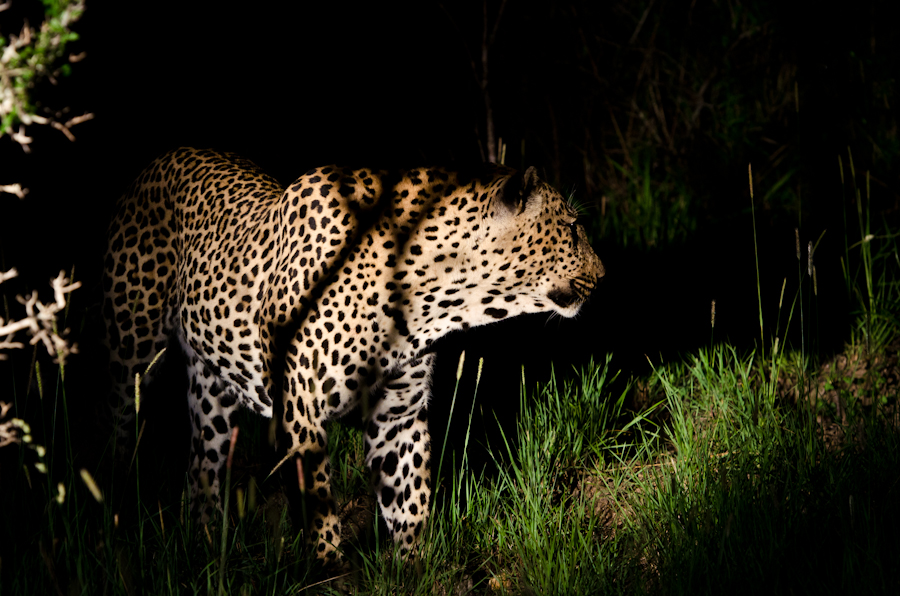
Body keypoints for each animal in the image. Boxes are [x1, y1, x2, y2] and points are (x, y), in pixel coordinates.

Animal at [102, 147, 604, 562]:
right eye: (572, 228)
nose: (603, 274)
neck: (438, 299)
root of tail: (162, 158)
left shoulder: (399, 414)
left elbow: (410, 499)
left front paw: (414, 570)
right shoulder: (300, 408)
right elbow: (319, 505)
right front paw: (327, 569)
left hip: (212, 389)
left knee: (201, 471)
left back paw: (203, 548)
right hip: (130, 354)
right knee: (117, 433)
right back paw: (111, 522)